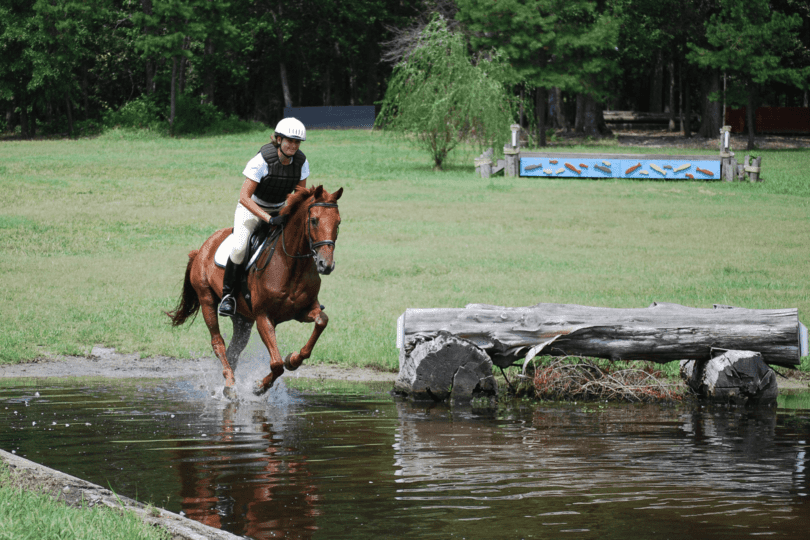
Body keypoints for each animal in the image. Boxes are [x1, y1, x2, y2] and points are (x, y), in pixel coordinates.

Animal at [167, 185, 343, 397]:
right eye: (314, 220)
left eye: (338, 222)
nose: (326, 265)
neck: (292, 265)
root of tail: (202, 248)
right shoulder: (263, 316)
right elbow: (276, 364)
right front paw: (259, 386)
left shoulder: (302, 310)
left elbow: (321, 321)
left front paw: (293, 360)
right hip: (207, 298)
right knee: (218, 343)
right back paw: (230, 385)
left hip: (243, 318)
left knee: (234, 350)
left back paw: (228, 382)